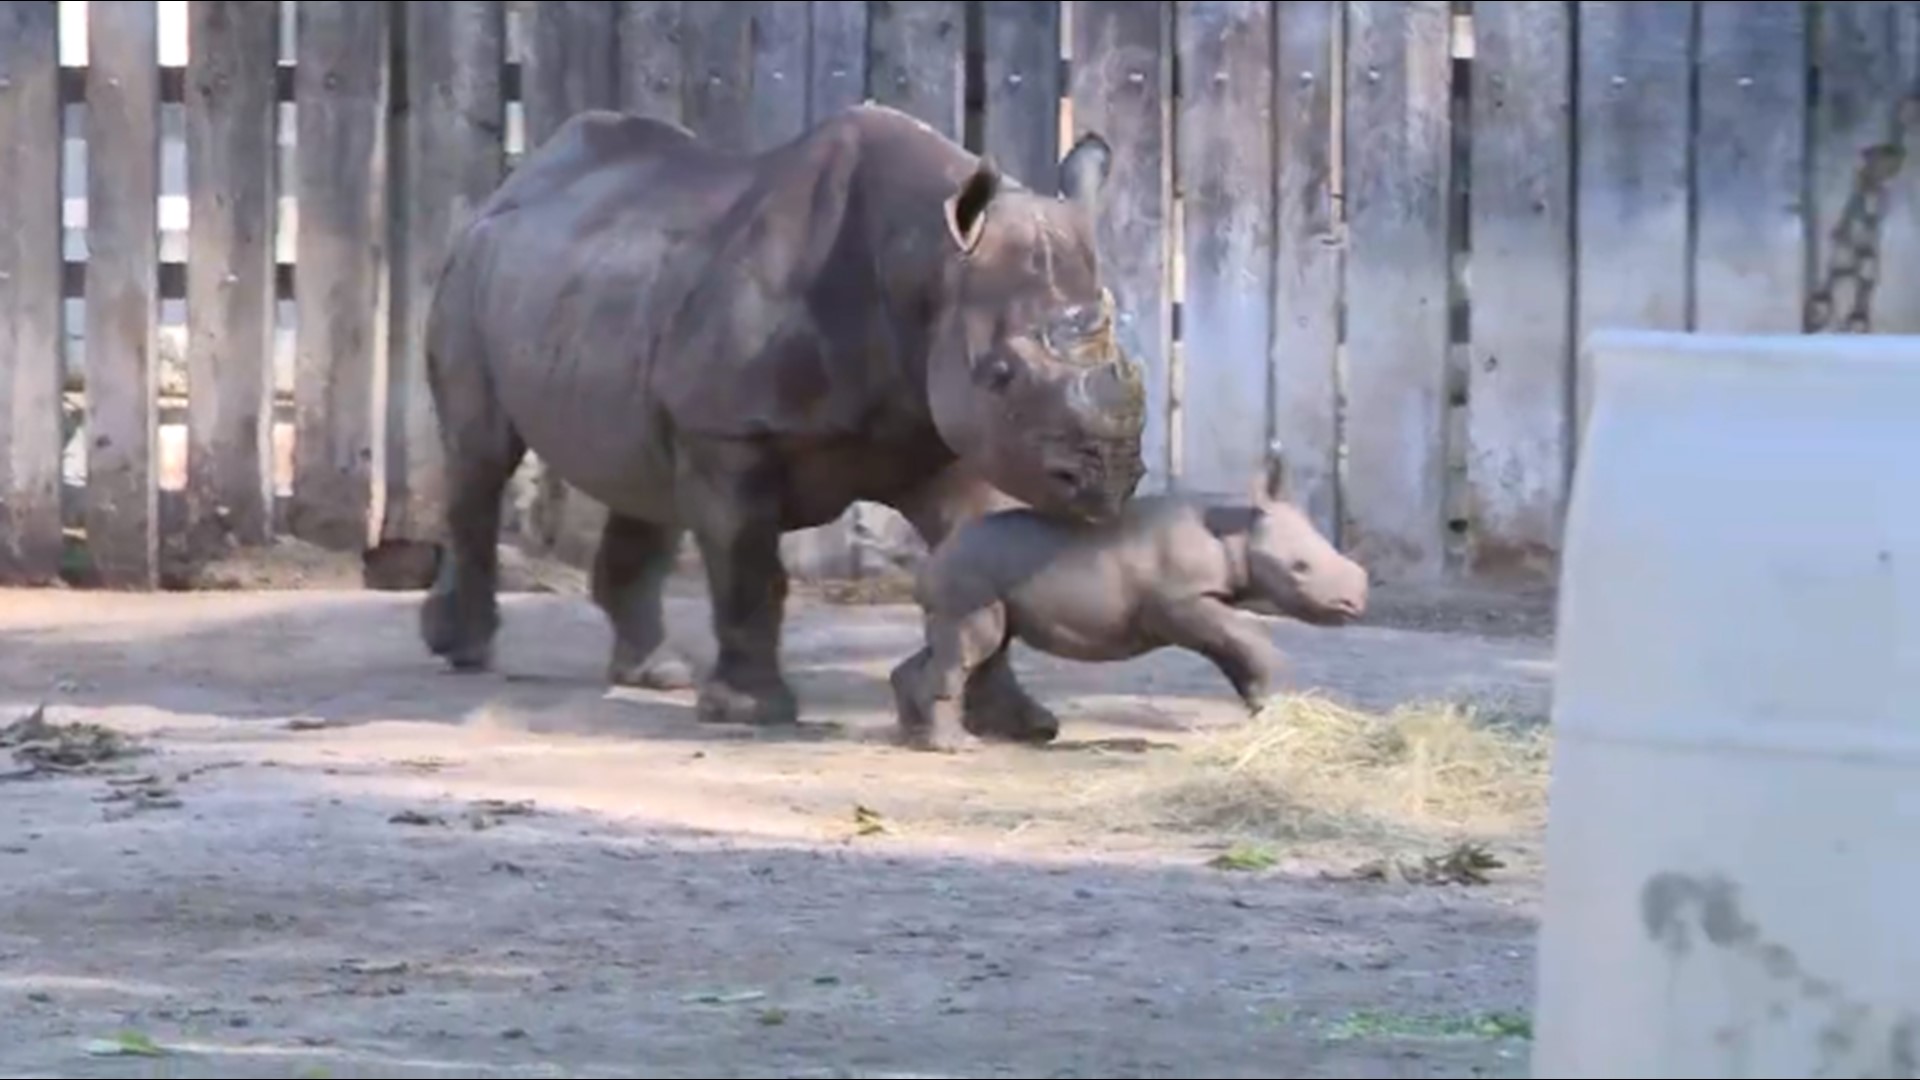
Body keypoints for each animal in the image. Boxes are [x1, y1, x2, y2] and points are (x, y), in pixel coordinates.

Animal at [417, 102, 1148, 736]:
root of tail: (516, 179)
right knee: (481, 456)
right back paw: (466, 650)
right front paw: (750, 712)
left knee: (643, 479)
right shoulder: (729, 434)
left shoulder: (947, 438)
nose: (1109, 478)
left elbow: (978, 562)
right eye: (999, 374)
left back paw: (656, 673)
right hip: (469, 270)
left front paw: (1019, 725)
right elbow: (748, 568)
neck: (925, 263)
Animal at [889, 442, 1369, 752]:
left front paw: (1264, 708)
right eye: (1300, 568)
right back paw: (956, 746)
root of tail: (931, 560)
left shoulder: (1197, 605)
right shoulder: (1179, 601)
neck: (1232, 531)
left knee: (971, 645)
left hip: (974, 578)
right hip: (969, 575)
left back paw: (913, 736)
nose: (1355, 604)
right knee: (973, 646)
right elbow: (1246, 635)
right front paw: (1279, 696)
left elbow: (1235, 649)